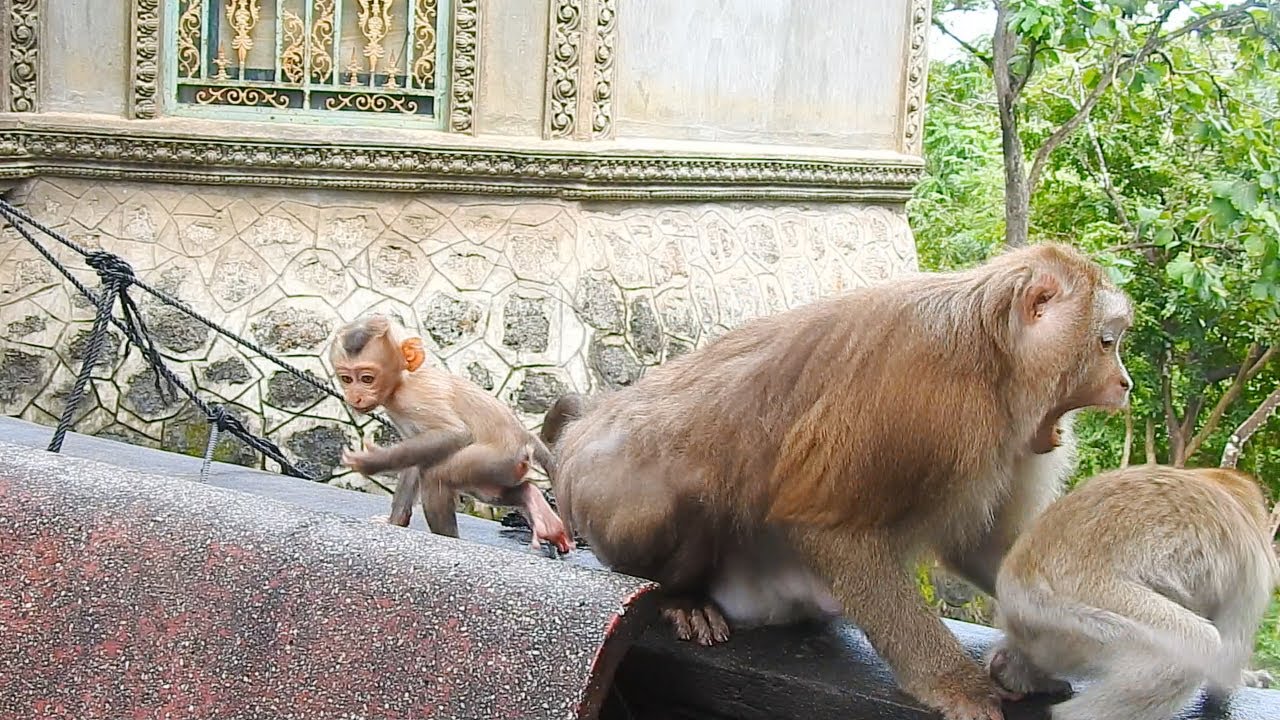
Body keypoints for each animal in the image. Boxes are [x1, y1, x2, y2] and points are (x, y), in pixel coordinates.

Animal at [329, 313, 573, 554]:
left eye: (366, 378)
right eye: (347, 379)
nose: (355, 396)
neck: (402, 381)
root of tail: (525, 438)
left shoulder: (413, 398)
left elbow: (454, 434)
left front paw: (371, 462)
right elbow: (415, 457)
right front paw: (394, 522)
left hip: (497, 458)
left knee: (437, 476)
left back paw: (448, 539)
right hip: (506, 468)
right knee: (492, 490)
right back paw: (533, 502)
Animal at [550, 242, 1134, 720]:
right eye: (1108, 342)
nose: (1125, 382)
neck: (995, 359)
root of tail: (579, 433)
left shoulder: (1014, 440)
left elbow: (988, 549)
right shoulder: (932, 408)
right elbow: (833, 529)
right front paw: (953, 684)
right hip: (601, 497)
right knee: (689, 481)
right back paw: (682, 598)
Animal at [986, 464, 1279, 720]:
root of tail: (1021, 571)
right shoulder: (1253, 576)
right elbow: (1226, 661)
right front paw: (1242, 678)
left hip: (1046, 625)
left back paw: (1012, 673)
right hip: (1076, 608)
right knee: (1196, 644)